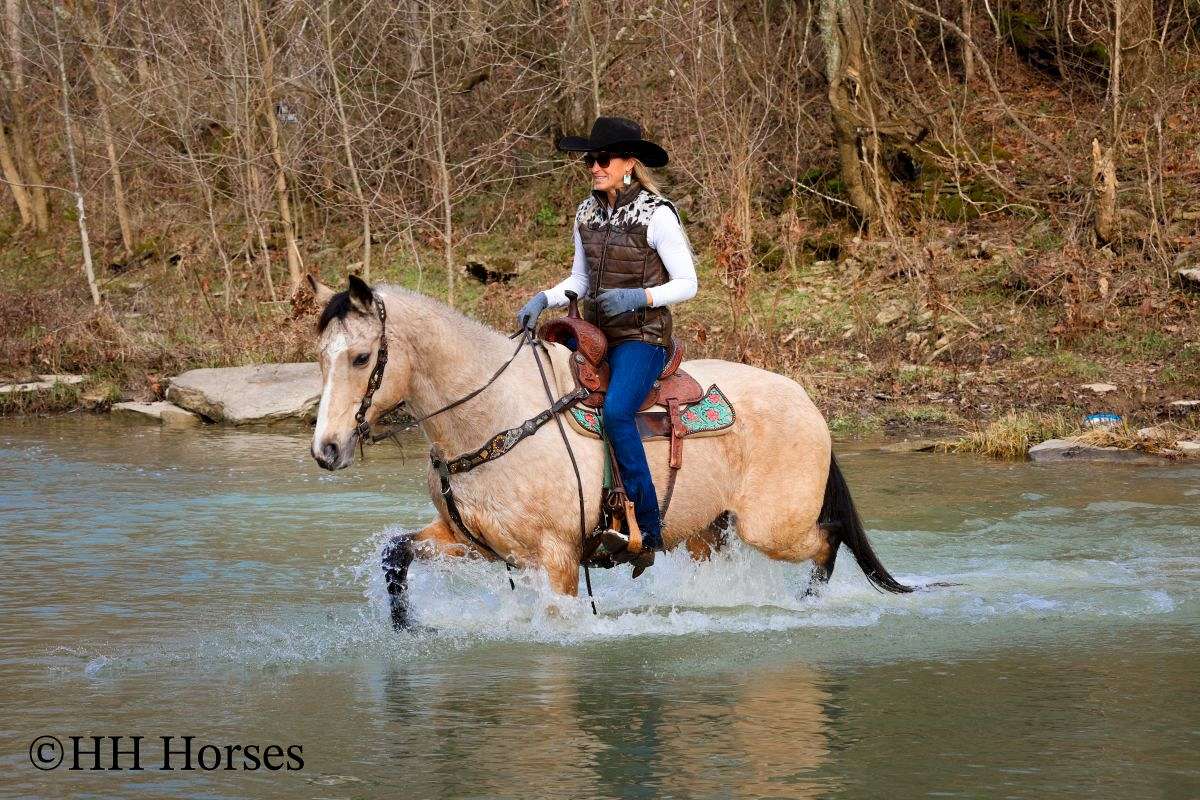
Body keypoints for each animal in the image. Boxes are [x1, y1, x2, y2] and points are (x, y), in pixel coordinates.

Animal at [308, 274, 912, 628]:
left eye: (361, 357)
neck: (497, 415)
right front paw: (411, 626)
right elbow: (395, 553)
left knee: (827, 541)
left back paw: (808, 607)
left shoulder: (557, 556)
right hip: (708, 531)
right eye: (321, 356)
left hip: (773, 527)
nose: (327, 449)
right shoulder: (472, 540)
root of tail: (807, 402)